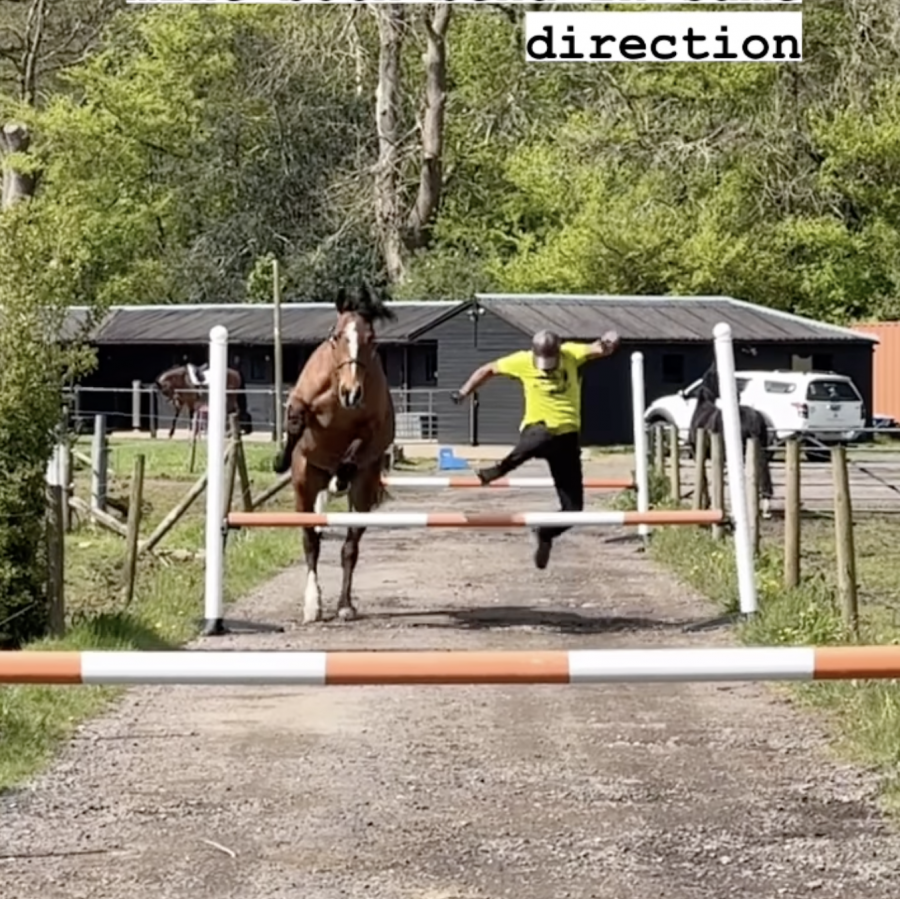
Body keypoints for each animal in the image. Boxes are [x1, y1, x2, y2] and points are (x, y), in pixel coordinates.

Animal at [273, 283, 396, 624]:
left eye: (371, 339)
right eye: (337, 336)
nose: (351, 393)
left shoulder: (374, 431)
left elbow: (358, 445)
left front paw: (342, 472)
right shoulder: (303, 404)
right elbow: (296, 417)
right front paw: (280, 456)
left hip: (363, 492)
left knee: (349, 547)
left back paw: (344, 605)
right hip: (305, 481)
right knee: (310, 541)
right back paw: (312, 605)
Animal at [688, 361, 774, 518]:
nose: (737, 395)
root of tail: (754, 418)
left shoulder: (698, 454)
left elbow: (704, 477)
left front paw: (708, 504)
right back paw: (765, 508)